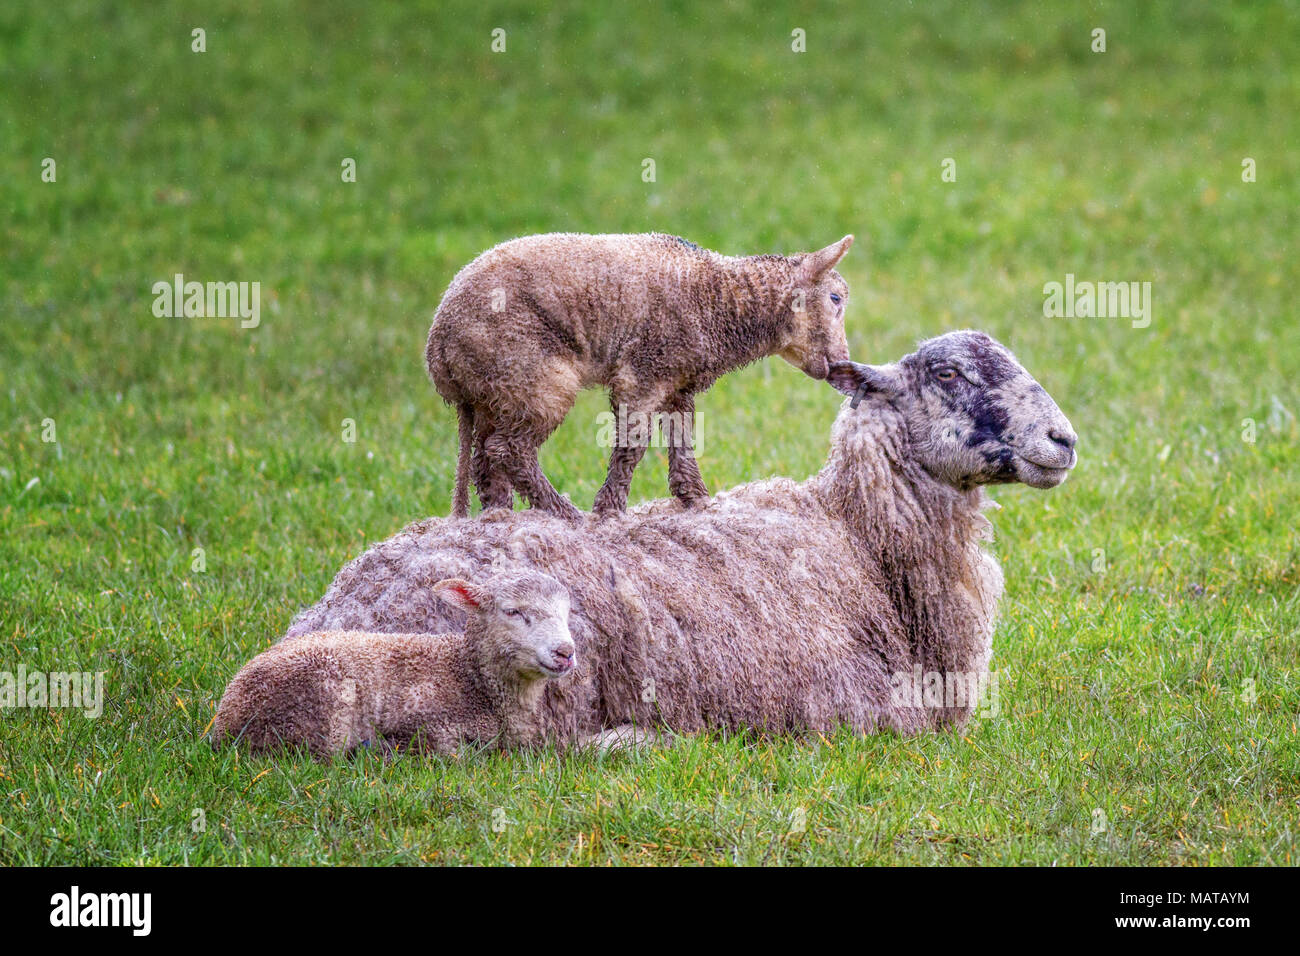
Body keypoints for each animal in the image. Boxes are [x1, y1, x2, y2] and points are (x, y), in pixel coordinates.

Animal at [214, 569, 575, 756]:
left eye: (566, 612)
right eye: (512, 611)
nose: (565, 651)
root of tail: (224, 718)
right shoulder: (422, 721)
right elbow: (454, 752)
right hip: (317, 711)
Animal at [426, 231, 855, 519]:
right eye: (835, 299)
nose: (842, 363)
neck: (721, 299)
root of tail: (438, 351)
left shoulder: (678, 381)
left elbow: (682, 438)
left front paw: (695, 499)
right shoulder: (644, 372)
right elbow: (632, 444)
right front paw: (609, 510)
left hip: (494, 391)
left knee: (484, 460)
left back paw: (499, 514)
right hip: (534, 375)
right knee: (508, 449)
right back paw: (565, 514)